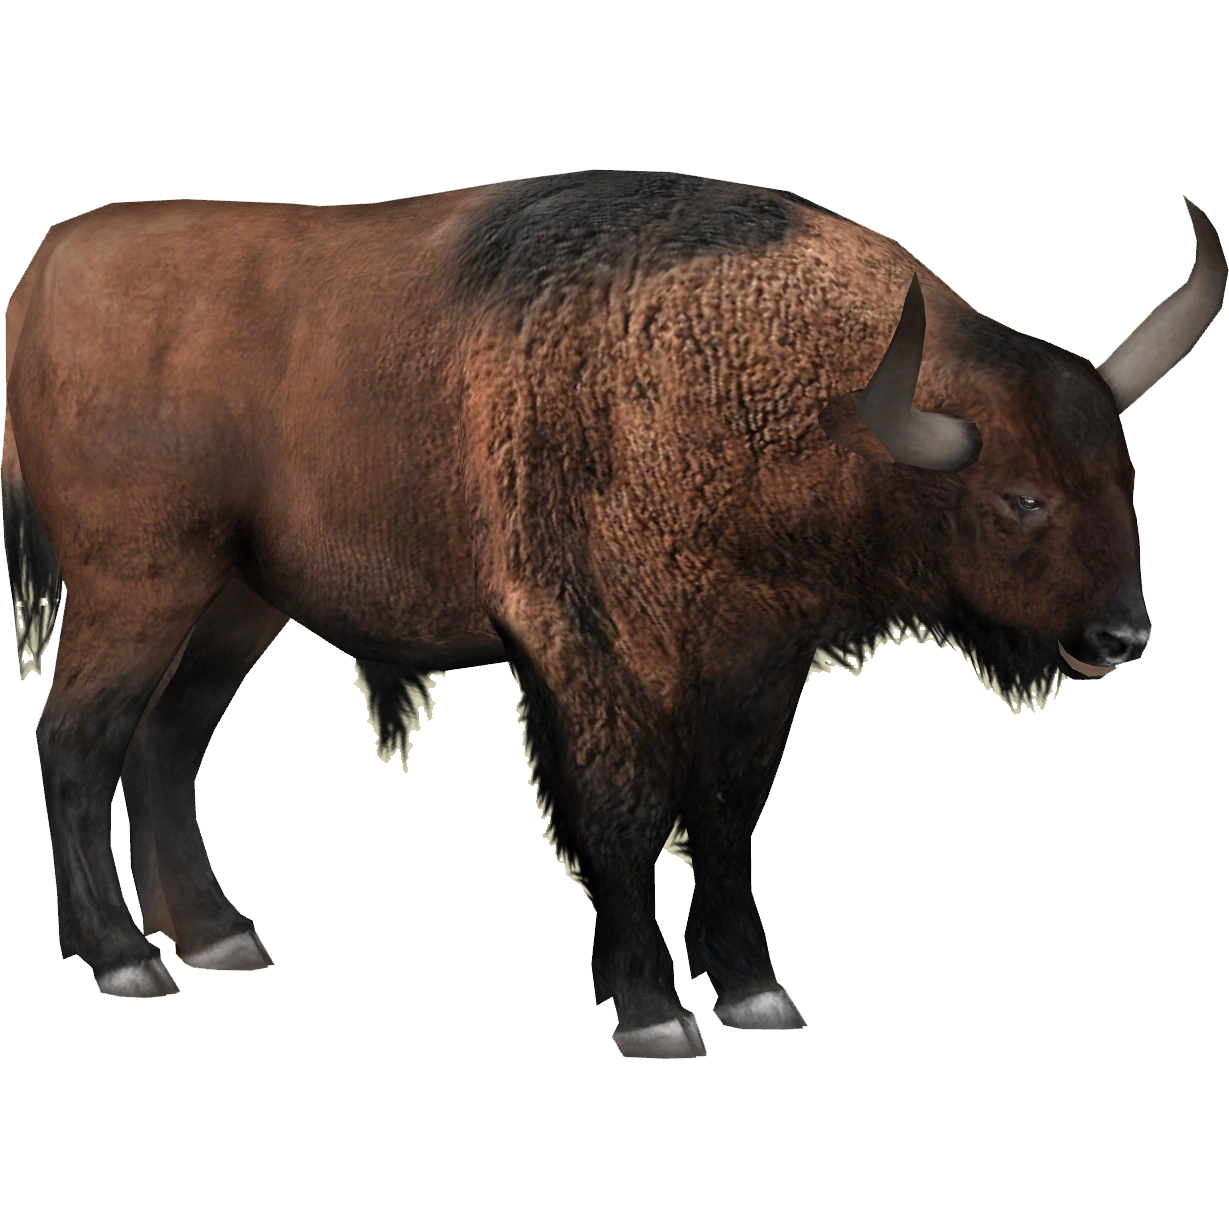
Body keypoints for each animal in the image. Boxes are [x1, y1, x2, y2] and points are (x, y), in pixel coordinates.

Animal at [2, 170, 1224, 1060]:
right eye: (1018, 495)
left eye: (1123, 473)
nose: (1123, 636)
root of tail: (51, 266)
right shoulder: (594, 654)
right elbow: (624, 814)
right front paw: (652, 1014)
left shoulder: (756, 663)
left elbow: (727, 817)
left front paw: (758, 993)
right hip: (138, 586)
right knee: (79, 738)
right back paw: (126, 960)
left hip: (233, 608)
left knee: (165, 745)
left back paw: (218, 940)